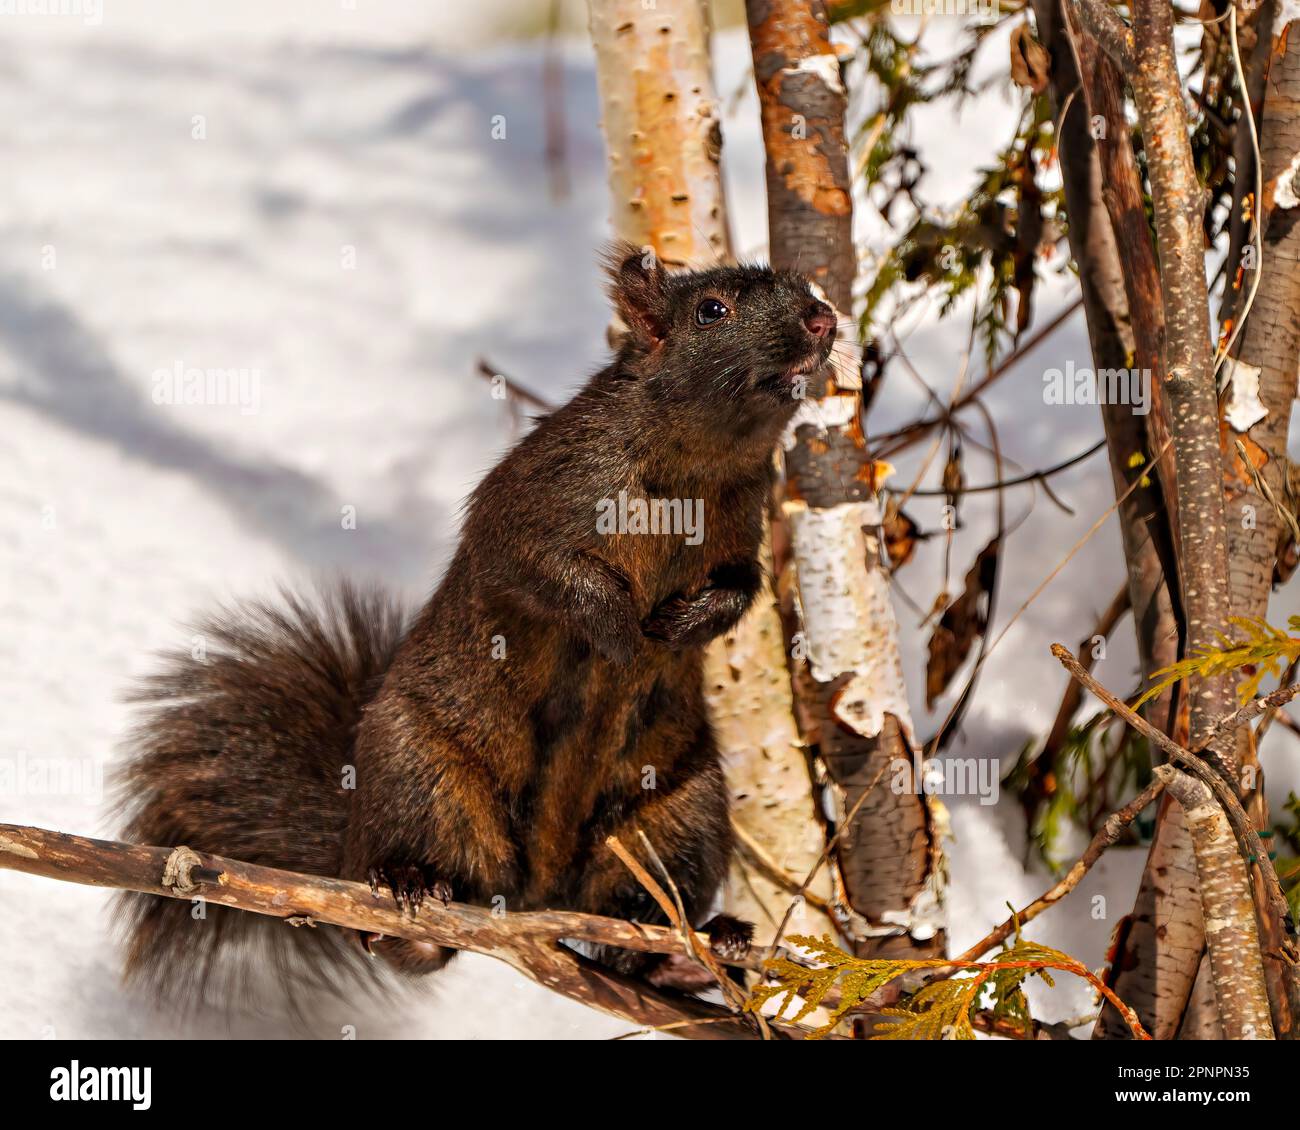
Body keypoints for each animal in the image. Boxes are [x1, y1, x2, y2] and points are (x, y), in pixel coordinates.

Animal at [116, 244, 838, 1007]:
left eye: (802, 287)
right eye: (711, 310)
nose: (822, 318)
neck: (700, 467)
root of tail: (534, 895)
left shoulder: (742, 522)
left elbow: (741, 586)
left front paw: (685, 623)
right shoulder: (533, 497)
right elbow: (547, 568)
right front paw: (620, 630)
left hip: (678, 813)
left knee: (629, 928)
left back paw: (696, 951)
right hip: (423, 778)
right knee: (422, 927)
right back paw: (407, 900)